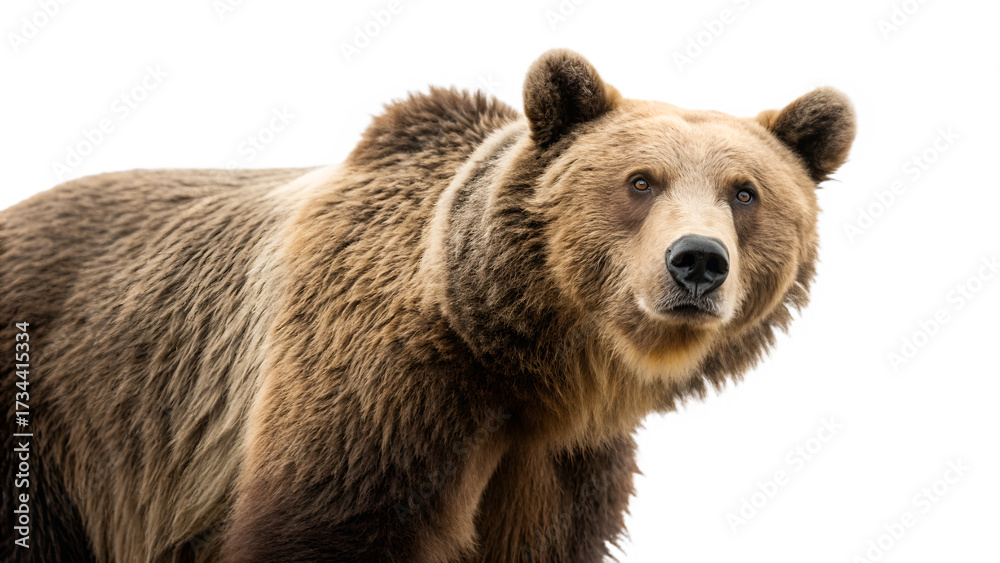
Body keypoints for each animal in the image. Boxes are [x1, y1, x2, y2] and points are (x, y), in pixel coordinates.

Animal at [0, 49, 855, 562]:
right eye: (640, 181)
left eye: (745, 192)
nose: (698, 262)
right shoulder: (384, 386)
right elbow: (332, 524)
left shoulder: (562, 464)